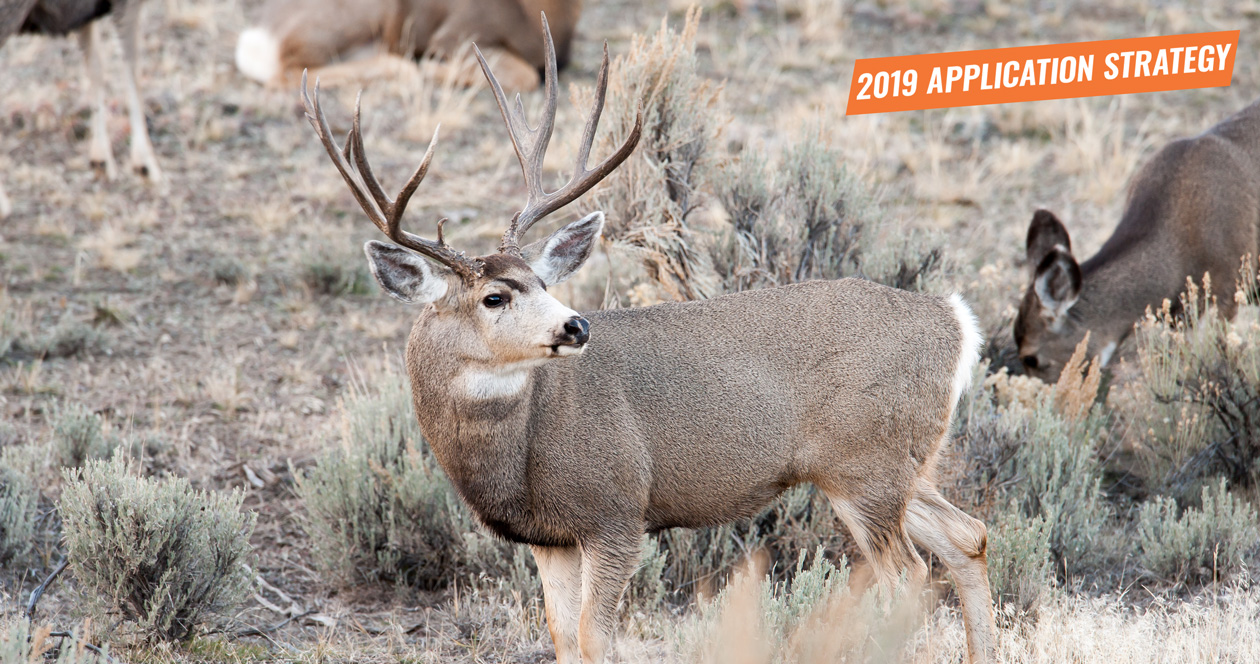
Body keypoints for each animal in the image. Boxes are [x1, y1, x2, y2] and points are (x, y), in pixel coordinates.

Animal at [0, 0, 163, 218]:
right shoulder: (126, 5)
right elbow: (132, 71)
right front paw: (146, 166)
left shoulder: (84, 18)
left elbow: (96, 68)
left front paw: (101, 161)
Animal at [301, 15, 996, 663]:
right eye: (495, 296)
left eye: (541, 280)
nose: (575, 324)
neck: (520, 447)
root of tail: (953, 321)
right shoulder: (551, 538)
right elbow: (562, 636)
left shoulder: (616, 510)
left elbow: (595, 637)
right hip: (900, 463)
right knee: (969, 536)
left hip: (863, 466)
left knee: (908, 577)